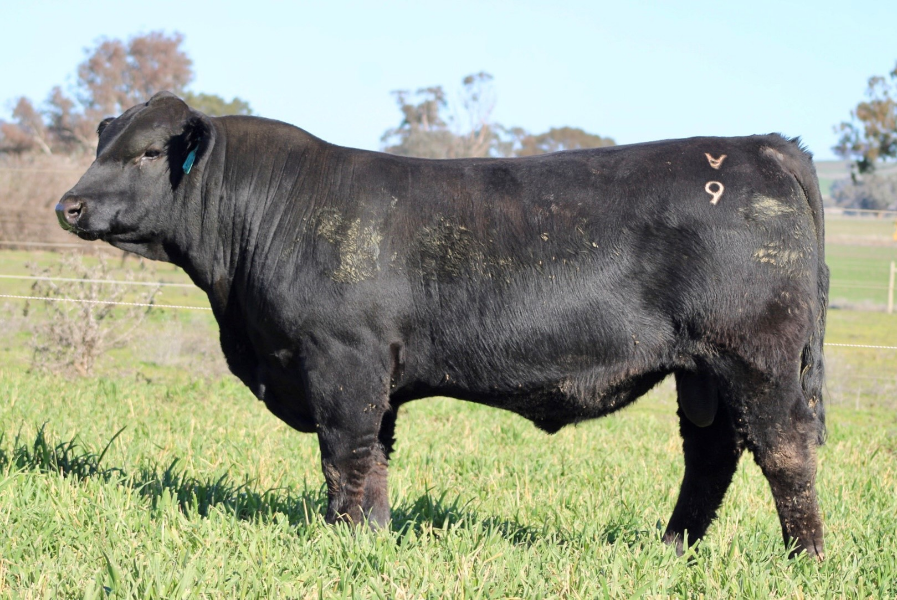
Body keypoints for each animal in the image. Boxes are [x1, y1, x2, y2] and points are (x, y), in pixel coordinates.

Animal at [56, 92, 828, 559]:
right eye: (102, 145)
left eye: (148, 152)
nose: (68, 205)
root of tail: (759, 145)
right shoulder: (374, 379)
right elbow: (374, 460)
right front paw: (370, 541)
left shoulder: (343, 361)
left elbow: (344, 454)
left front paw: (341, 542)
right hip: (702, 372)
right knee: (711, 456)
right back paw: (671, 550)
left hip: (757, 356)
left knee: (784, 450)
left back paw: (804, 559)